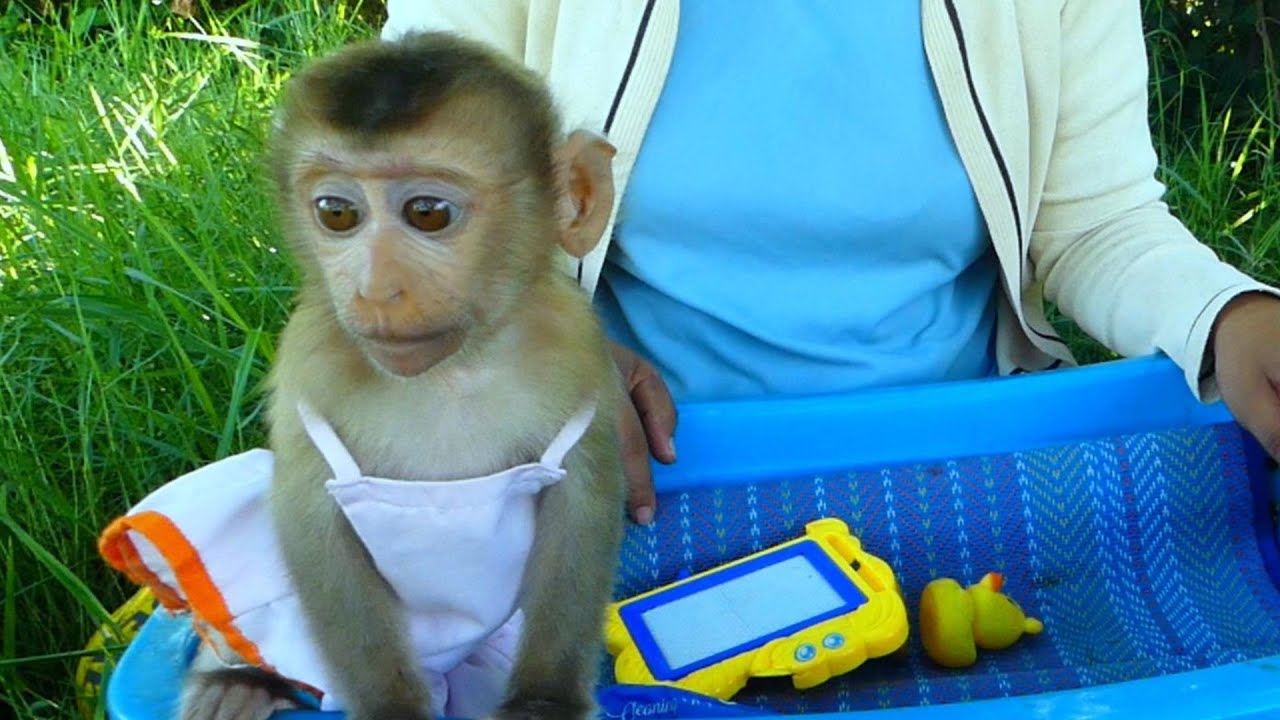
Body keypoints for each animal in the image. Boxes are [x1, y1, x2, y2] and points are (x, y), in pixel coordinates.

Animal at [177, 32, 627, 720]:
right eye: (336, 212)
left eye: (428, 212)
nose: (375, 291)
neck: (455, 371)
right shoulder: (306, 362)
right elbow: (313, 524)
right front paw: (392, 706)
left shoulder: (576, 348)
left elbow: (581, 505)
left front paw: (542, 700)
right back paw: (242, 679)